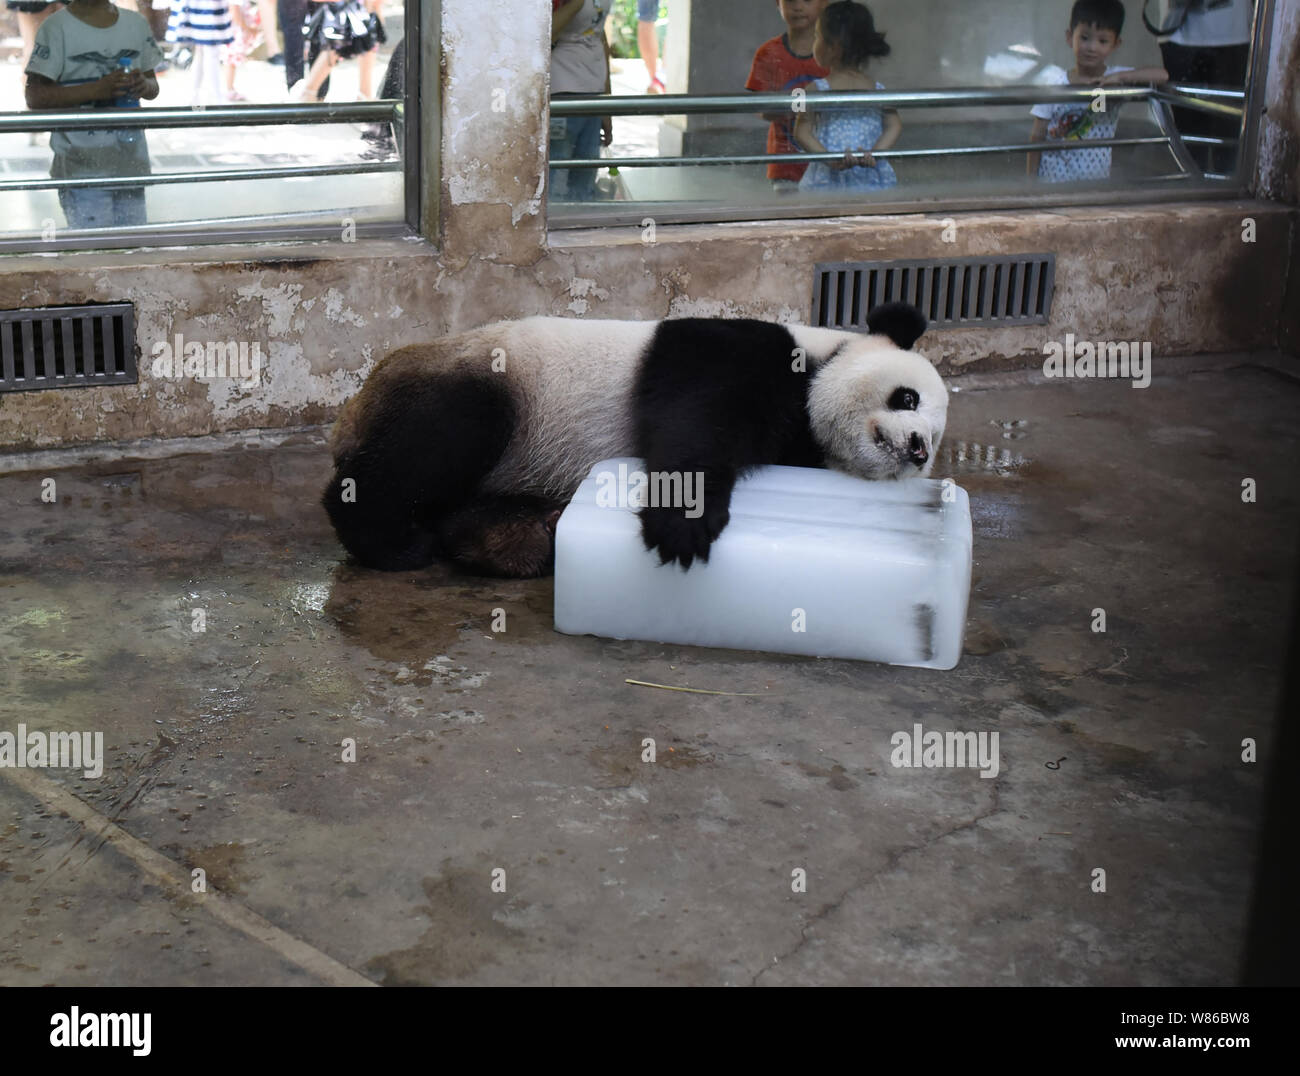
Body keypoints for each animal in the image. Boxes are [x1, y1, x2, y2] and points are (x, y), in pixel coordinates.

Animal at [323, 302, 947, 578]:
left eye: (936, 445)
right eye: (907, 399)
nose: (917, 449)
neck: (817, 365)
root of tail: (352, 412)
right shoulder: (738, 354)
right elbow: (694, 422)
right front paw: (683, 526)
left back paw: (525, 537)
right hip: (487, 382)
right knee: (434, 444)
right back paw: (392, 542)